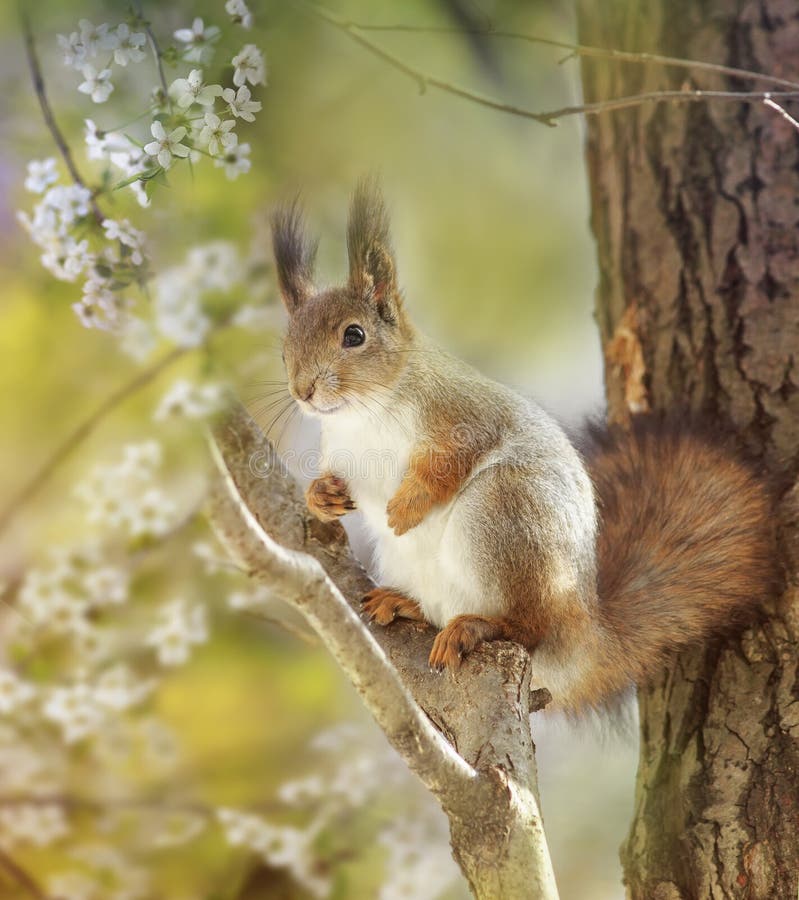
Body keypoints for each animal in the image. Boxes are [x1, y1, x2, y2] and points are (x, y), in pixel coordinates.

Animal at [270, 178, 778, 712]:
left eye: (354, 335)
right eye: (284, 350)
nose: (303, 391)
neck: (365, 415)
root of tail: (582, 630)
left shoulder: (466, 415)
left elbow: (451, 462)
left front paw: (408, 507)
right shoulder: (341, 450)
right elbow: (338, 482)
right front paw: (322, 497)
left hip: (504, 516)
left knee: (527, 628)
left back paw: (480, 625)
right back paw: (405, 602)